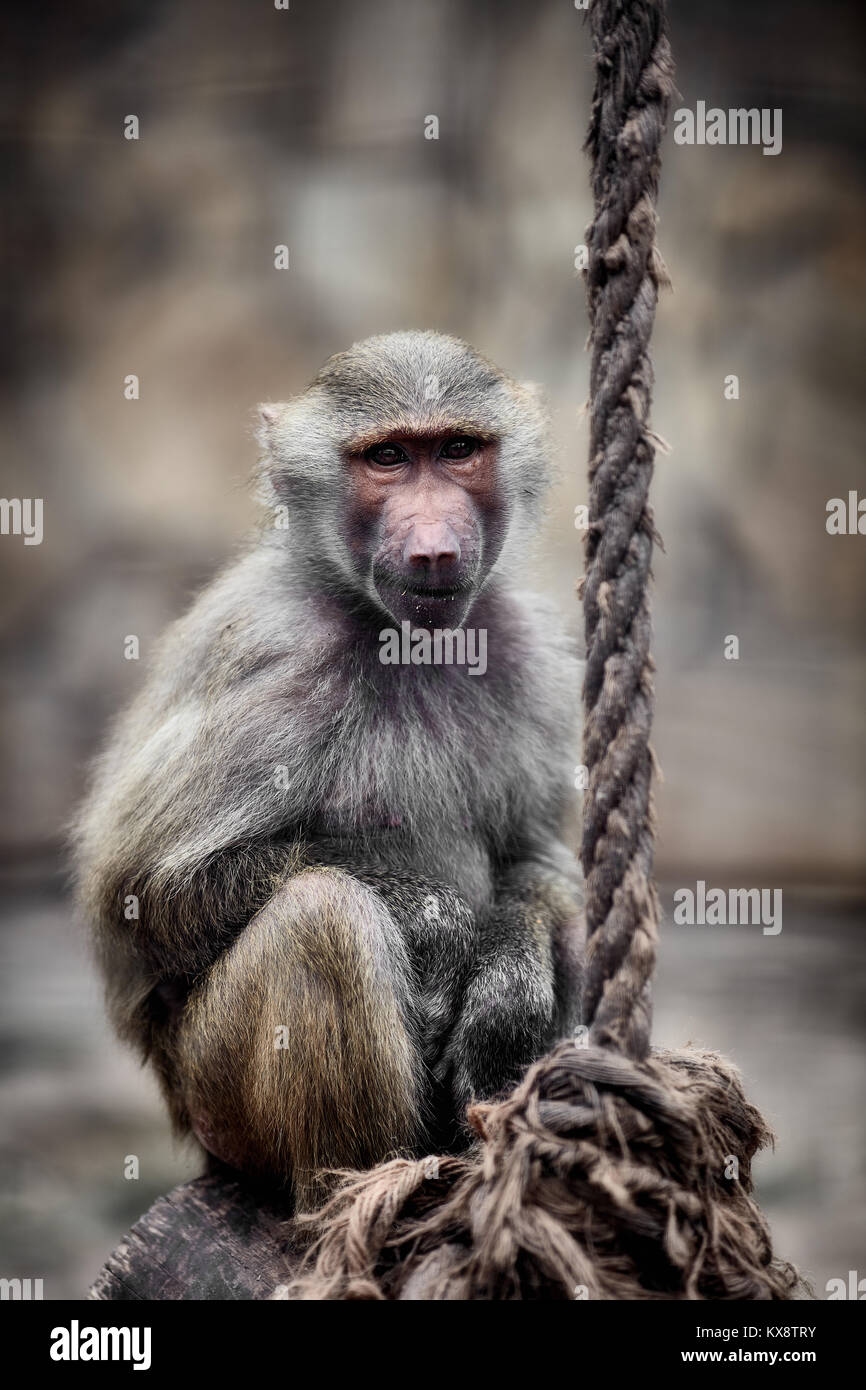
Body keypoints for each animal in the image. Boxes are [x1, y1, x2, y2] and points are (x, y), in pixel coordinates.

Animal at [73, 331, 584, 1210]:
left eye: (457, 451)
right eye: (387, 458)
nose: (435, 547)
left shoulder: (526, 647)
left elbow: (536, 858)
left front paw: (509, 975)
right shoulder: (272, 652)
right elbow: (140, 893)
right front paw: (443, 929)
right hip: (216, 1103)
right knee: (321, 916)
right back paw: (360, 1197)